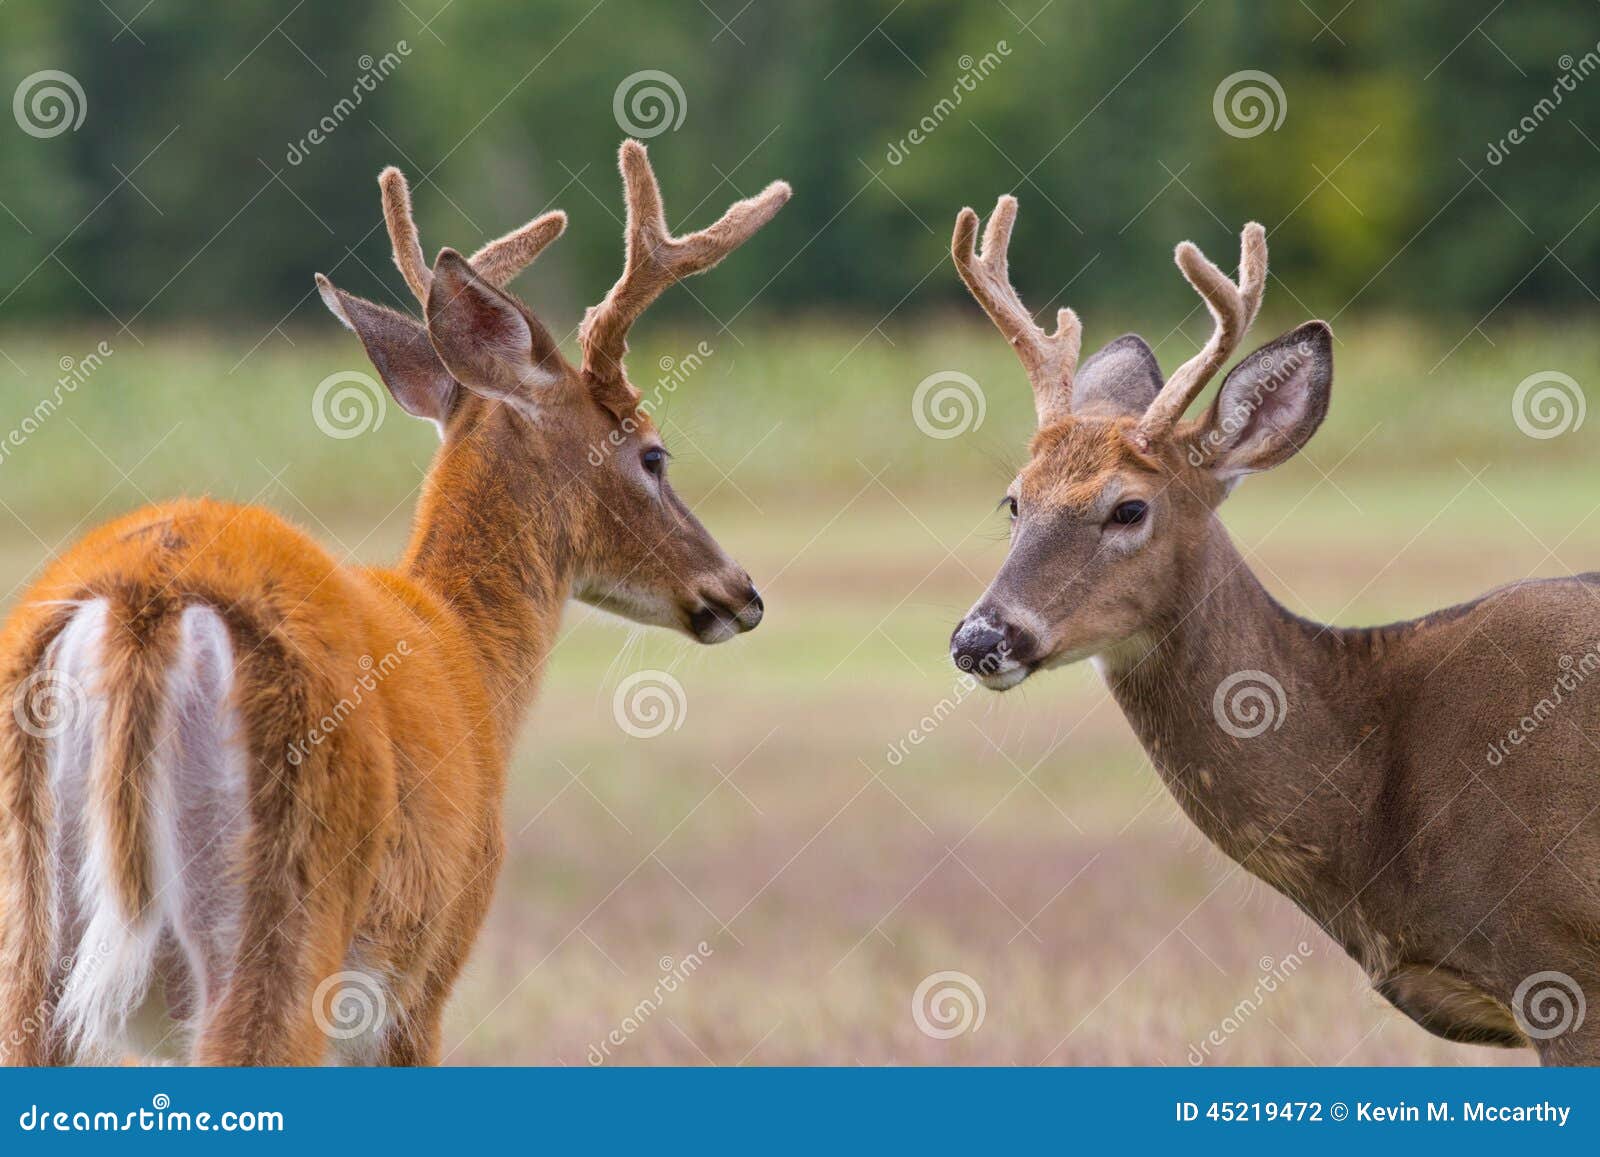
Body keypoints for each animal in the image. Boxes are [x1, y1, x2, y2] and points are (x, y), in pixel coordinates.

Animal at [0, 140, 788, 1066]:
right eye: (655, 454)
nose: (740, 590)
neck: (470, 651)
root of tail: (145, 600)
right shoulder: (431, 966)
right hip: (288, 910)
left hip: (32, 936)